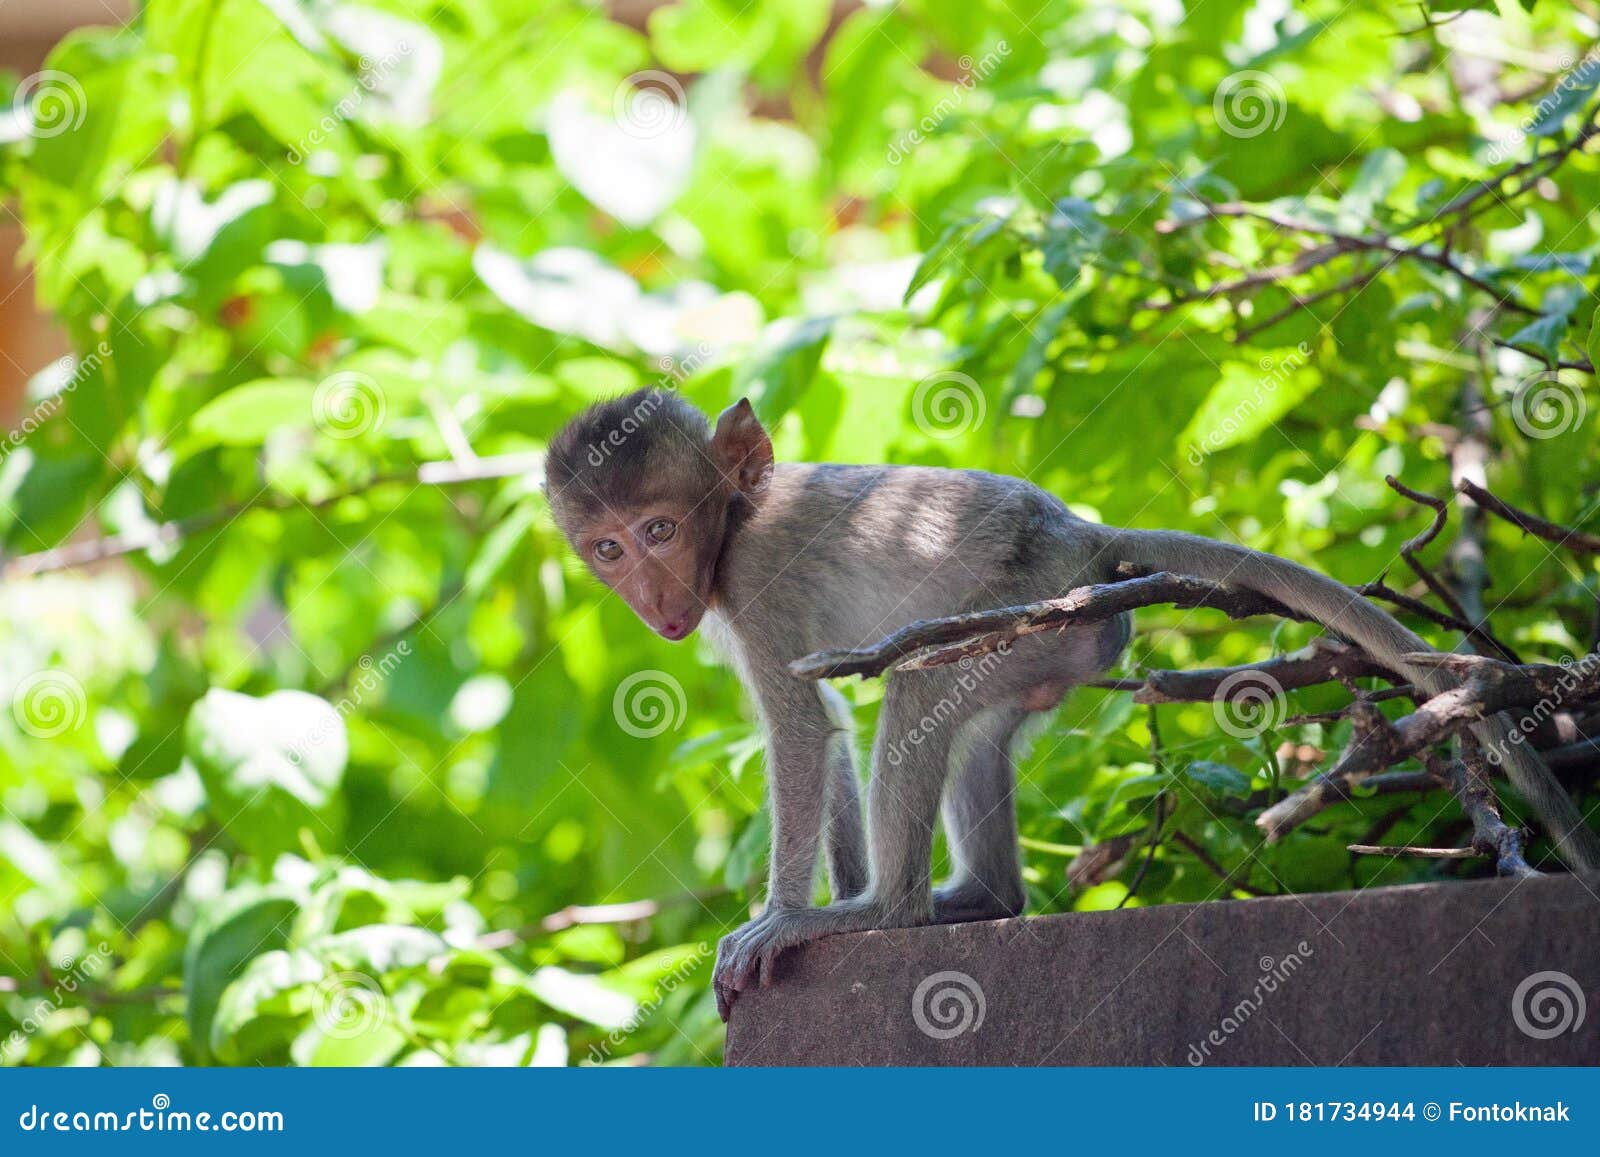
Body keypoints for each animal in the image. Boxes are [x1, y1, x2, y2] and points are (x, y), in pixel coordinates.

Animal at [543, 388, 1600, 1021]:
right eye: (607, 549)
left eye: (659, 529)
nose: (652, 596)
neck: (734, 523)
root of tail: (1086, 539)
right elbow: (825, 727)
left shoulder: (756, 581)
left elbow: (804, 727)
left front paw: (788, 916)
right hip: (1048, 644)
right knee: (970, 728)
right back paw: (977, 899)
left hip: (1021, 601)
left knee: (919, 687)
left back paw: (886, 910)